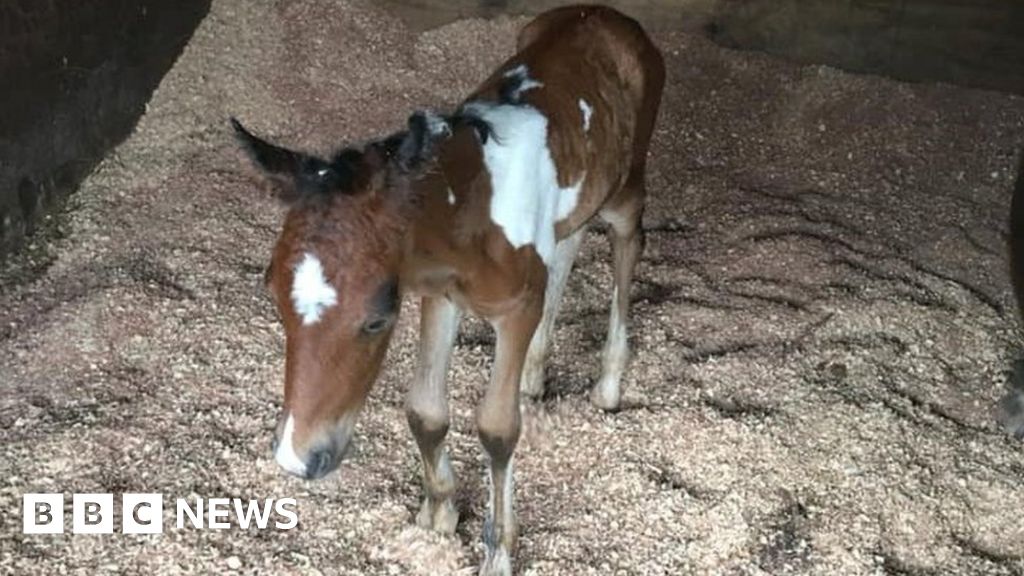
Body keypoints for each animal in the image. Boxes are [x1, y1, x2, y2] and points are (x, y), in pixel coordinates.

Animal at [232, 6, 664, 574]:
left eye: (377, 317)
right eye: (275, 298)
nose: (297, 457)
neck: (474, 212)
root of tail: (612, 17)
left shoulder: (517, 309)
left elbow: (498, 428)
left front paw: (499, 551)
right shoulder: (442, 299)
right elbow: (426, 412)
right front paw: (436, 518)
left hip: (626, 188)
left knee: (626, 246)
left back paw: (608, 385)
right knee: (569, 246)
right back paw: (535, 377)